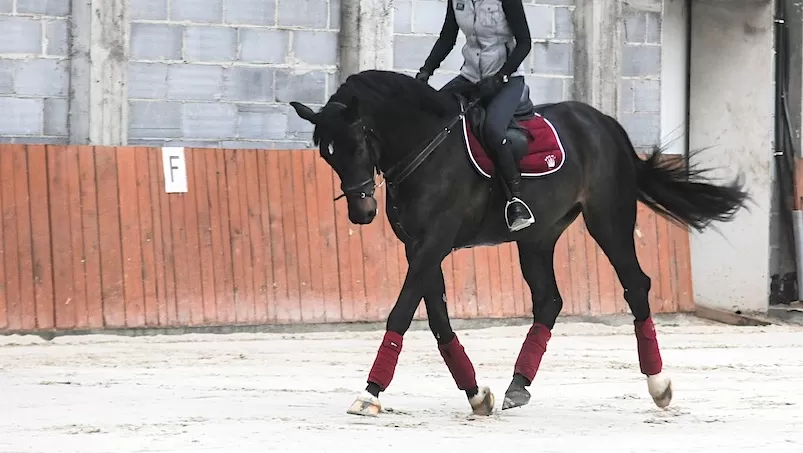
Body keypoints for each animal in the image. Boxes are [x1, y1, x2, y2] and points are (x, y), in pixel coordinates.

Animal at [292, 69, 752, 414]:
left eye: (356, 143)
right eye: (328, 154)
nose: (361, 212)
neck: (427, 148)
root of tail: (605, 123)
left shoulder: (433, 243)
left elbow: (401, 313)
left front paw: (369, 393)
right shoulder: (420, 247)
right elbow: (438, 319)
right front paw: (477, 393)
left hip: (609, 221)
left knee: (635, 286)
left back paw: (659, 386)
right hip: (537, 238)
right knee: (549, 301)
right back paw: (518, 385)